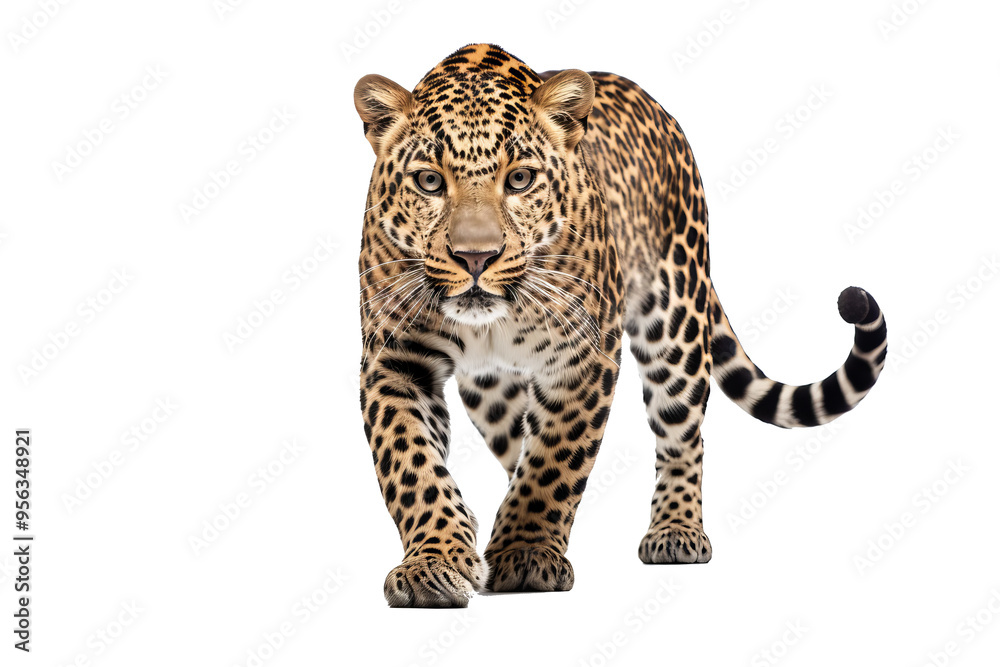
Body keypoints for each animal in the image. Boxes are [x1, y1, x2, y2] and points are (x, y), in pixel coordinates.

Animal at [353, 43, 888, 607]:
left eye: (520, 179)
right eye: (429, 181)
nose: (476, 257)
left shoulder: (582, 356)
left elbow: (554, 461)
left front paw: (526, 551)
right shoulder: (394, 360)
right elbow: (412, 466)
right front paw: (434, 562)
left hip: (674, 318)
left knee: (682, 435)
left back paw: (676, 531)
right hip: (488, 388)